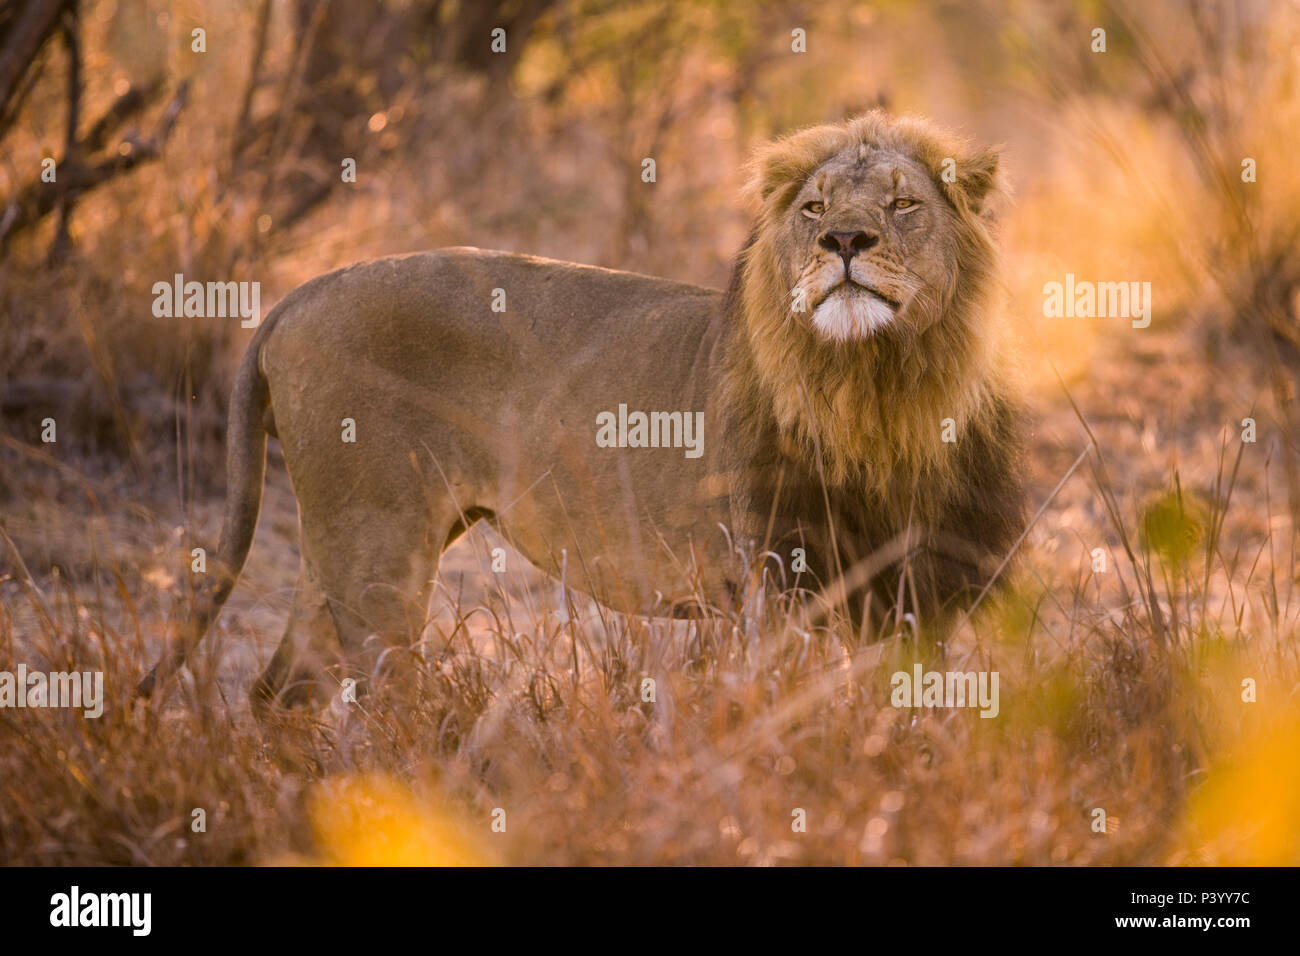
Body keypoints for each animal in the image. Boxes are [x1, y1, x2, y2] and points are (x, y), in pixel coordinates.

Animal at [139, 110, 1026, 714]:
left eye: (905, 204)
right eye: (813, 208)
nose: (844, 239)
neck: (880, 388)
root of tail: (298, 295)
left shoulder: (926, 595)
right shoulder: (777, 582)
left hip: (340, 553)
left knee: (278, 689)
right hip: (376, 550)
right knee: (375, 700)